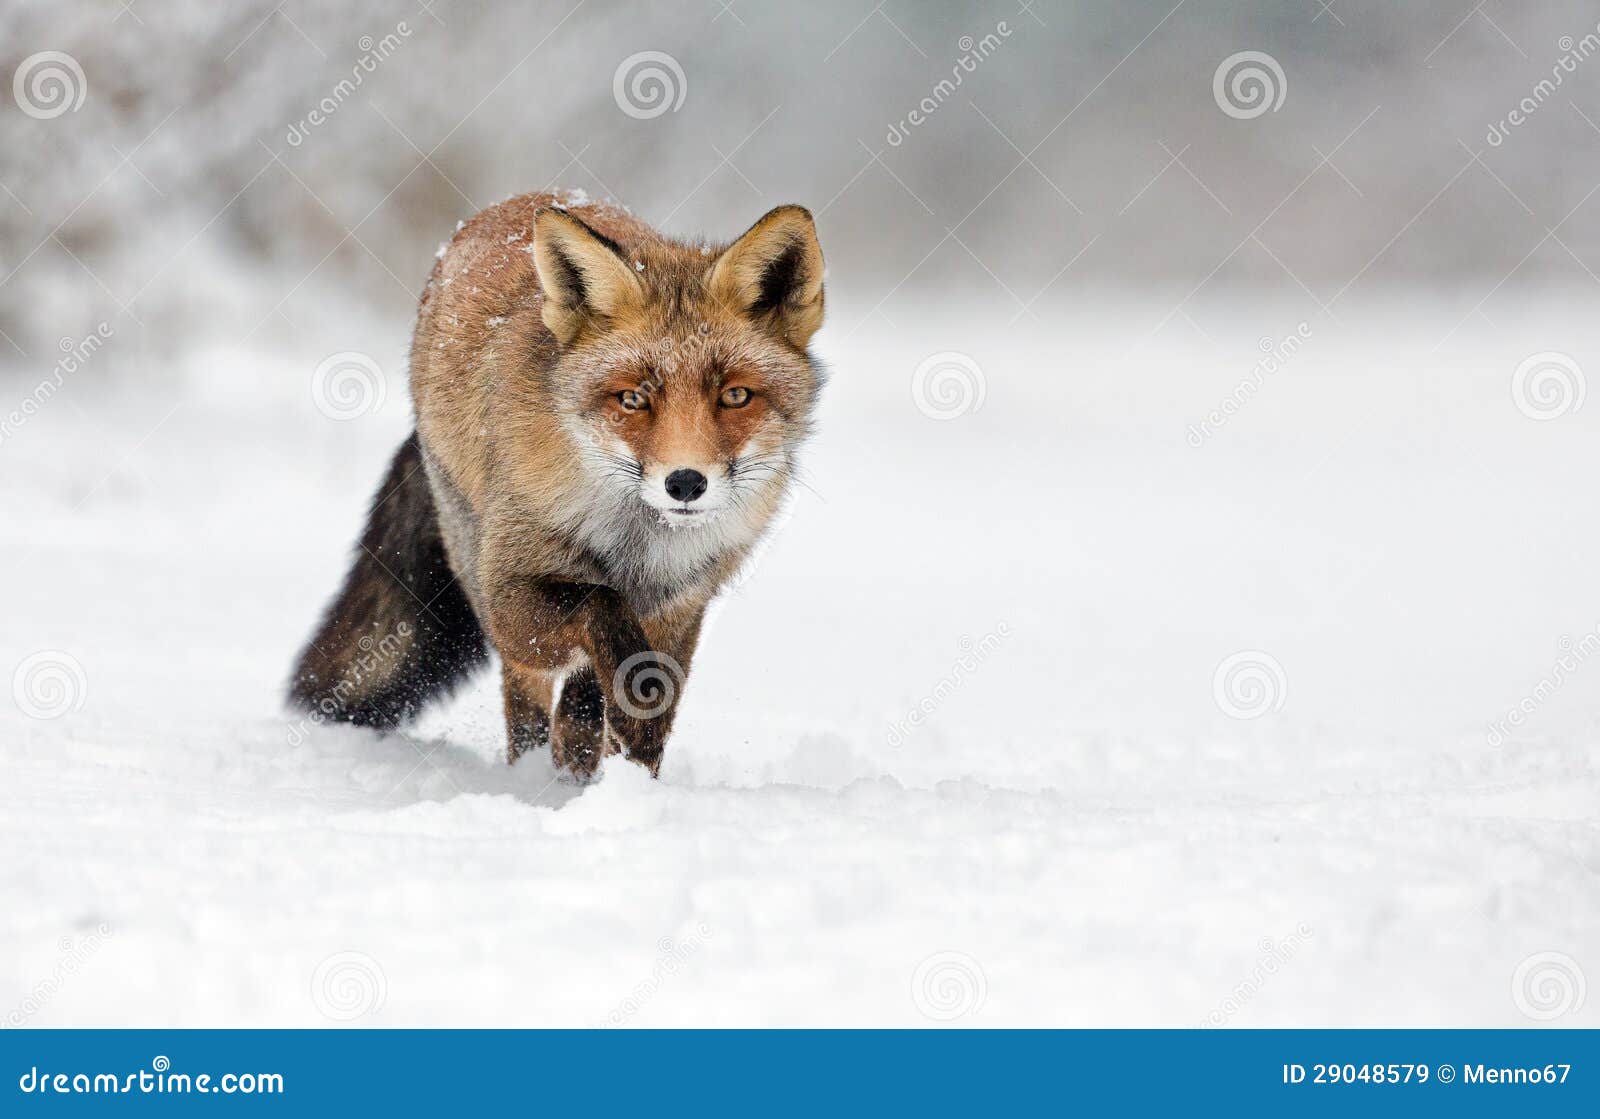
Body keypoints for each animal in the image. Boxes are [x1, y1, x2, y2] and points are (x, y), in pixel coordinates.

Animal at [287, 192, 826, 779]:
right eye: (632, 399)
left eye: (735, 396)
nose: (685, 483)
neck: (636, 546)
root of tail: (513, 204)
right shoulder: (510, 589)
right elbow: (599, 606)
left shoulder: (681, 604)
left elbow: (646, 685)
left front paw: (635, 774)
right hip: (476, 565)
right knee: (528, 695)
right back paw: (533, 773)